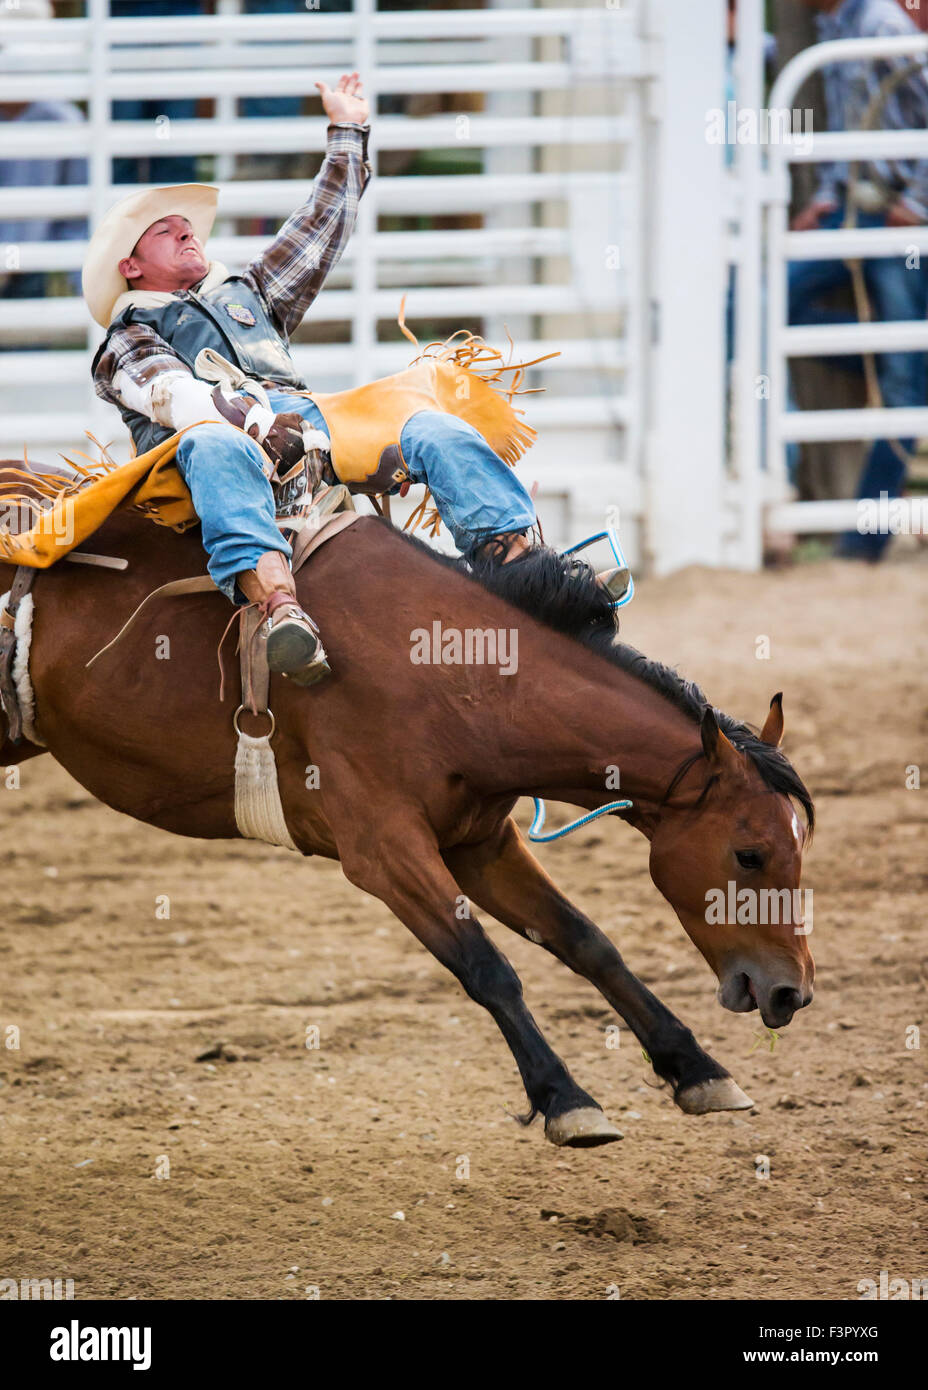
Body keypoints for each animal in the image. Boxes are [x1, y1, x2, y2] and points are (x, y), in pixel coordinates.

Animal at [0, 491, 815, 1147]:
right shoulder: (384, 850)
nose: (792, 993)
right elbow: (488, 967)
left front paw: (697, 1068)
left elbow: (588, 942)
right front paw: (566, 1100)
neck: (448, 674)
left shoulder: (480, 841)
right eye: (748, 854)